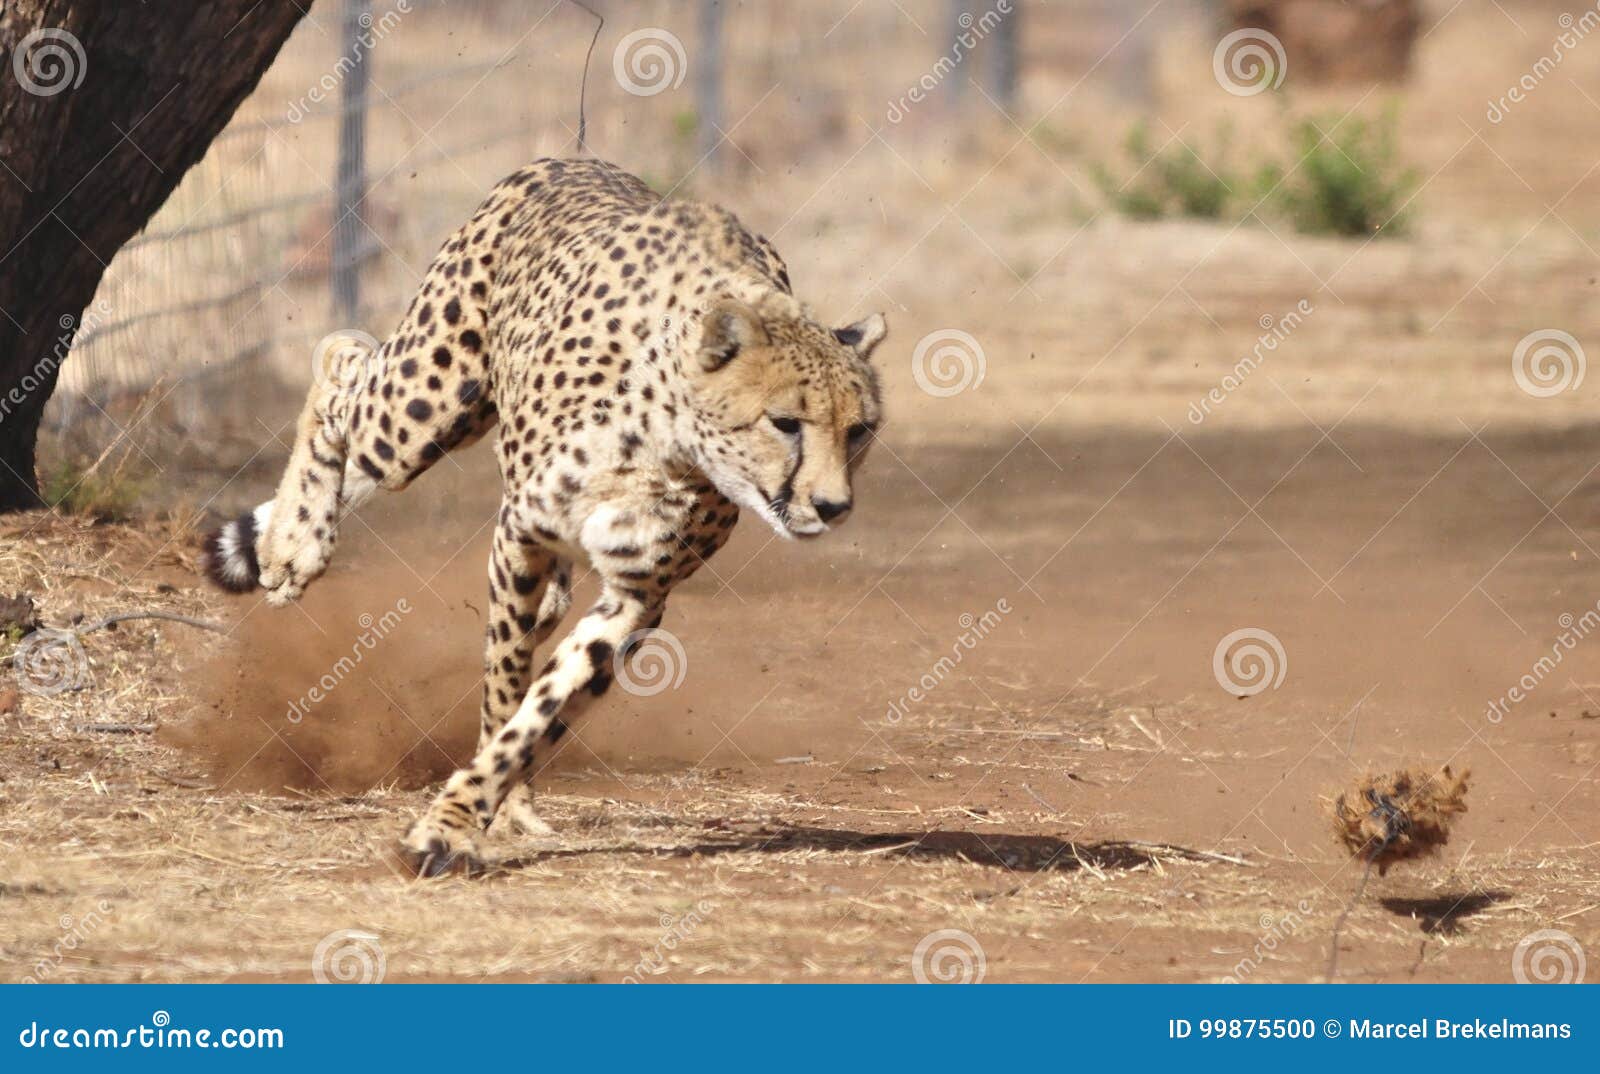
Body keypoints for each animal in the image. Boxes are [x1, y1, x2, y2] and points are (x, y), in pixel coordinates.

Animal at [202, 157, 887, 875]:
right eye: (785, 423)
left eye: (860, 429)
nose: (832, 505)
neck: (668, 443)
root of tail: (572, 161)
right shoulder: (519, 537)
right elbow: (506, 684)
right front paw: (489, 810)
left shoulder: (639, 595)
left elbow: (542, 711)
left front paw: (464, 818)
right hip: (423, 408)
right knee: (340, 363)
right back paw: (294, 540)